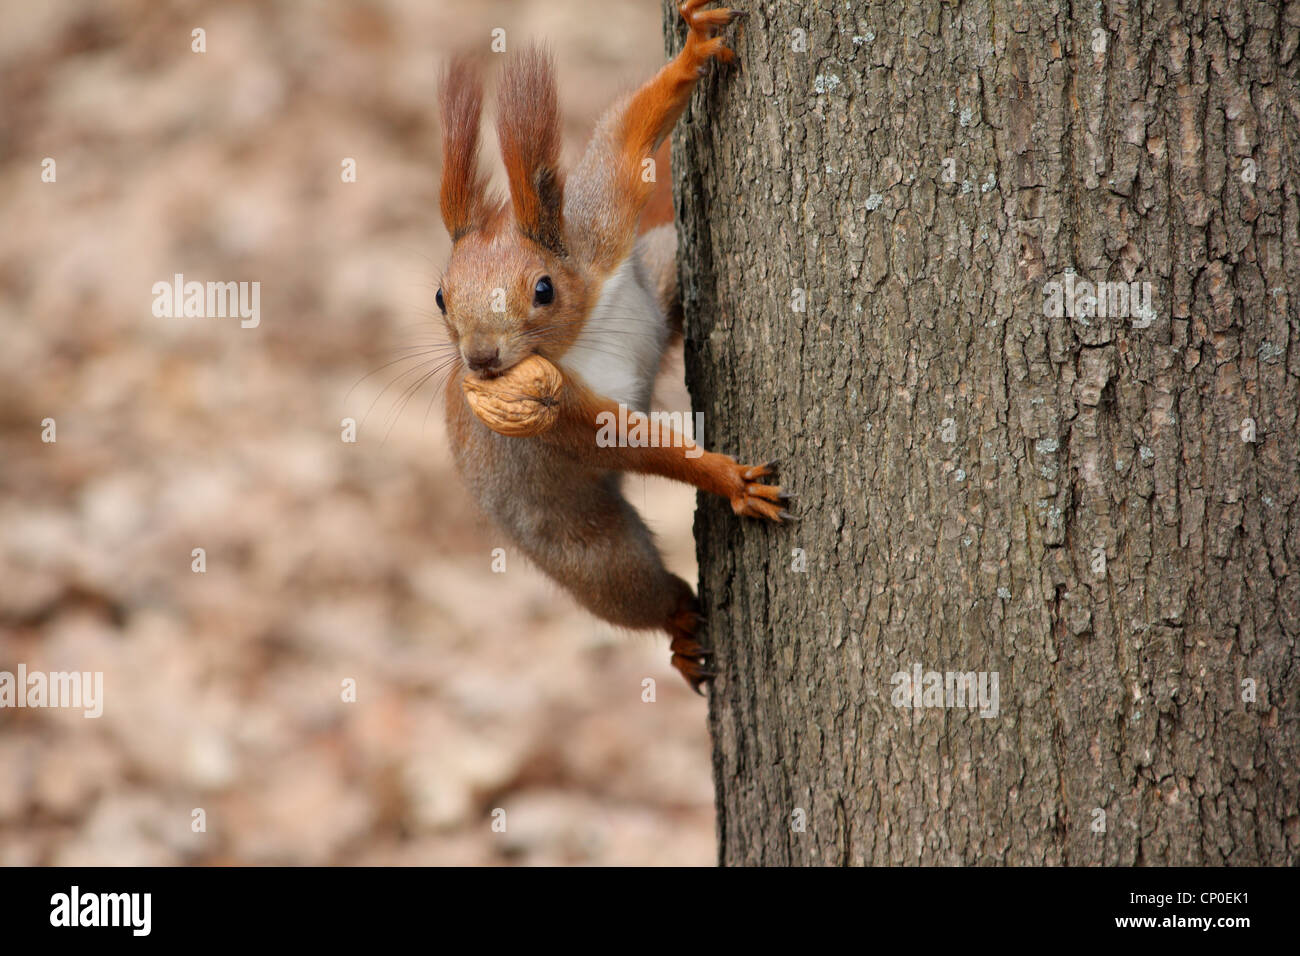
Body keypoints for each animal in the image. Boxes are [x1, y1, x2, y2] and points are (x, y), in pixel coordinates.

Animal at [435, 1, 787, 691]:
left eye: (543, 288)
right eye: (440, 297)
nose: (481, 360)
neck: (579, 332)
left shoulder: (602, 230)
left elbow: (625, 140)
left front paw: (694, 47)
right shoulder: (554, 411)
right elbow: (637, 443)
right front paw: (729, 479)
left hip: (659, 267)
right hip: (582, 548)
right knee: (637, 589)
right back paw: (680, 628)